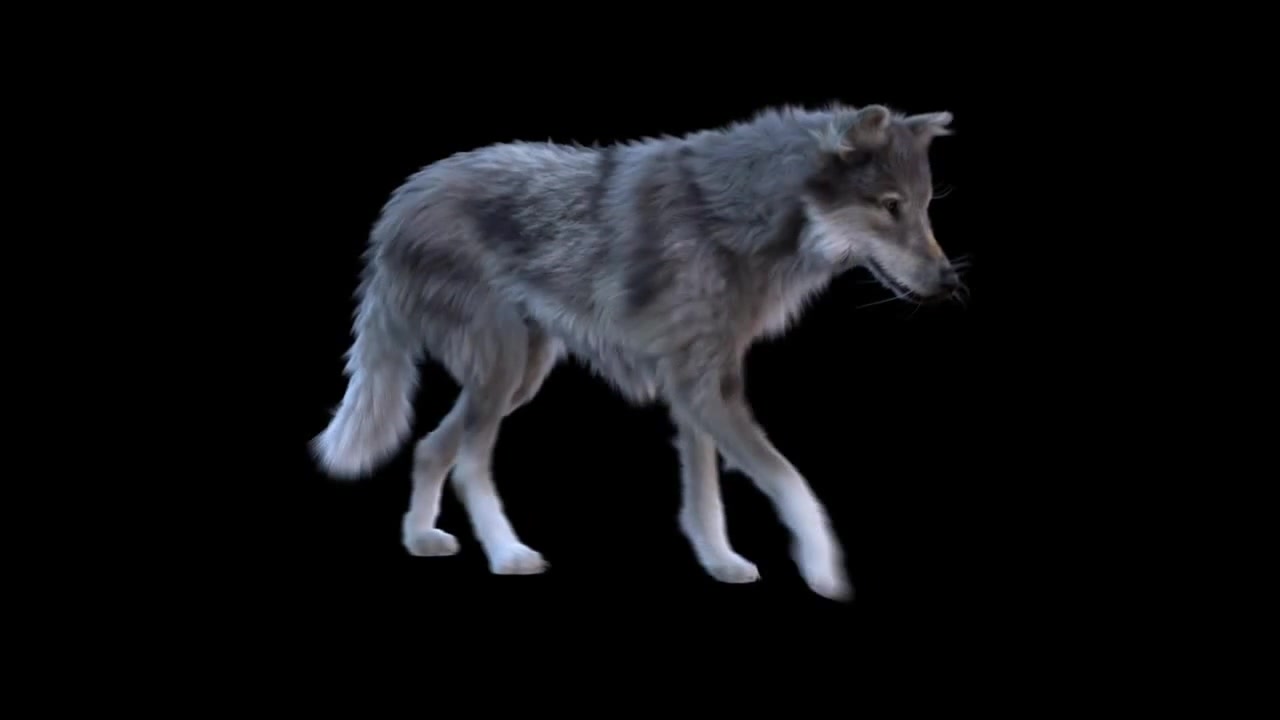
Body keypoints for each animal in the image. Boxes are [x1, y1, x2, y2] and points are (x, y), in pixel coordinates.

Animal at [311, 103, 959, 601]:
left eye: (926, 206)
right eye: (891, 206)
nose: (952, 282)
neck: (738, 217)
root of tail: (400, 201)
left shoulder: (699, 384)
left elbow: (705, 496)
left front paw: (721, 563)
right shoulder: (702, 387)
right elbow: (791, 483)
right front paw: (827, 573)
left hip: (519, 377)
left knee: (429, 448)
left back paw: (422, 540)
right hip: (502, 371)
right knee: (470, 466)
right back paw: (509, 555)